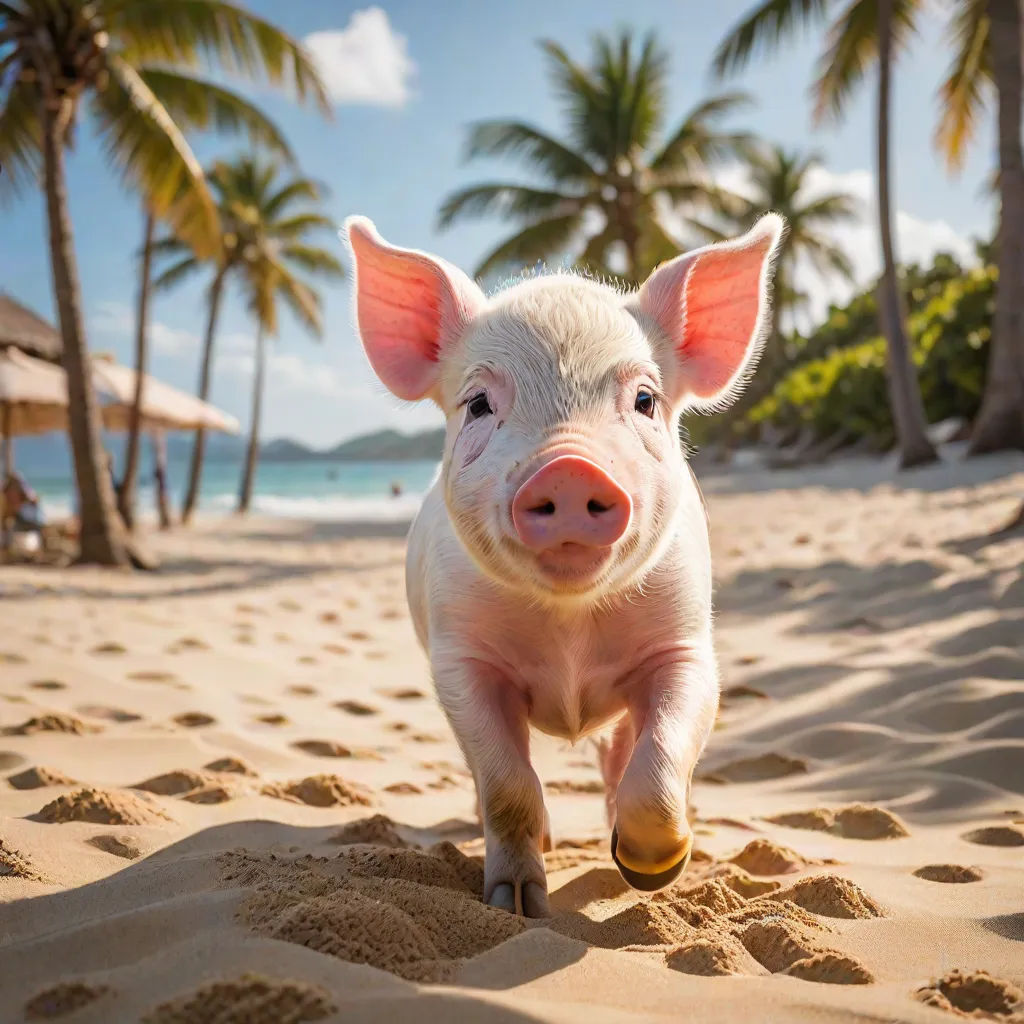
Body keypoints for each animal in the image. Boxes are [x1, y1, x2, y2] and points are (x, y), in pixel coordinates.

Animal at [345, 213, 785, 917]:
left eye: (644, 400)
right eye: (477, 404)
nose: (570, 467)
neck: (569, 626)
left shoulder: (687, 644)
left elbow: (662, 753)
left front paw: (652, 870)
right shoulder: (459, 659)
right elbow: (507, 784)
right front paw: (517, 905)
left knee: (621, 752)